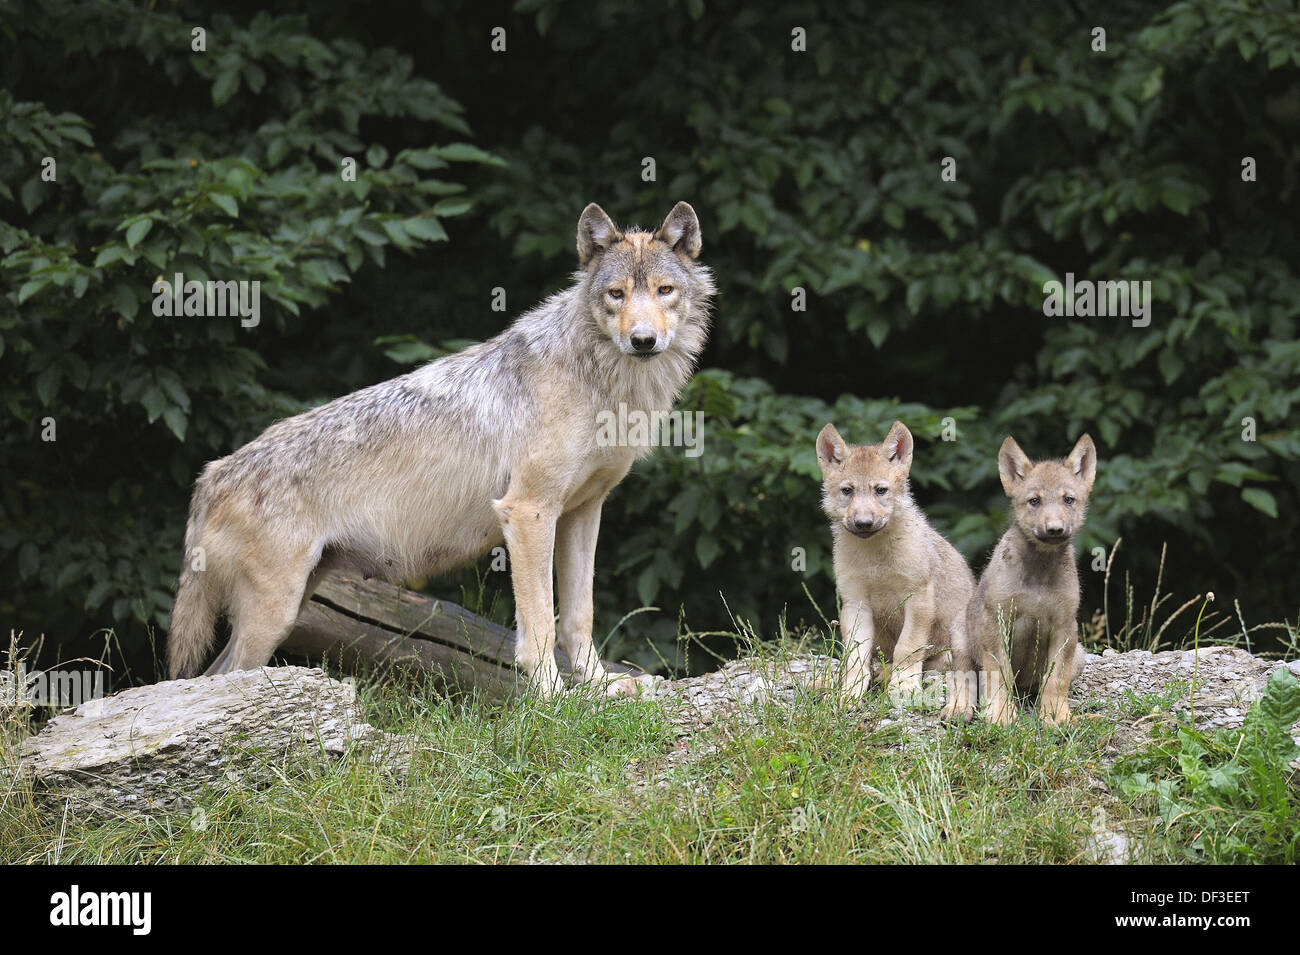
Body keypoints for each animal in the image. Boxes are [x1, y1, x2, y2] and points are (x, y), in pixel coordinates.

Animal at [168, 202, 715, 696]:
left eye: (664, 291)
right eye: (616, 294)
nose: (643, 340)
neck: (604, 385)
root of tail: (211, 474)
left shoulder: (583, 511)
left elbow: (578, 616)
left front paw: (601, 687)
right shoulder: (527, 512)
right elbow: (539, 624)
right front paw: (555, 699)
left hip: (294, 602)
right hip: (275, 613)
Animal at [815, 421, 977, 720]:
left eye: (881, 490)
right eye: (847, 491)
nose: (863, 523)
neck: (875, 557)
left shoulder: (918, 597)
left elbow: (907, 648)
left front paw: (903, 688)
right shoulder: (856, 604)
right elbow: (855, 657)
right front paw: (848, 694)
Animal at [971, 434, 1096, 726]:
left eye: (1069, 500)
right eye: (1034, 501)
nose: (1055, 529)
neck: (1039, 572)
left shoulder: (1065, 625)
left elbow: (1056, 679)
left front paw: (1056, 716)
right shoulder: (996, 620)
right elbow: (998, 674)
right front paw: (1002, 715)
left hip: (1079, 655)